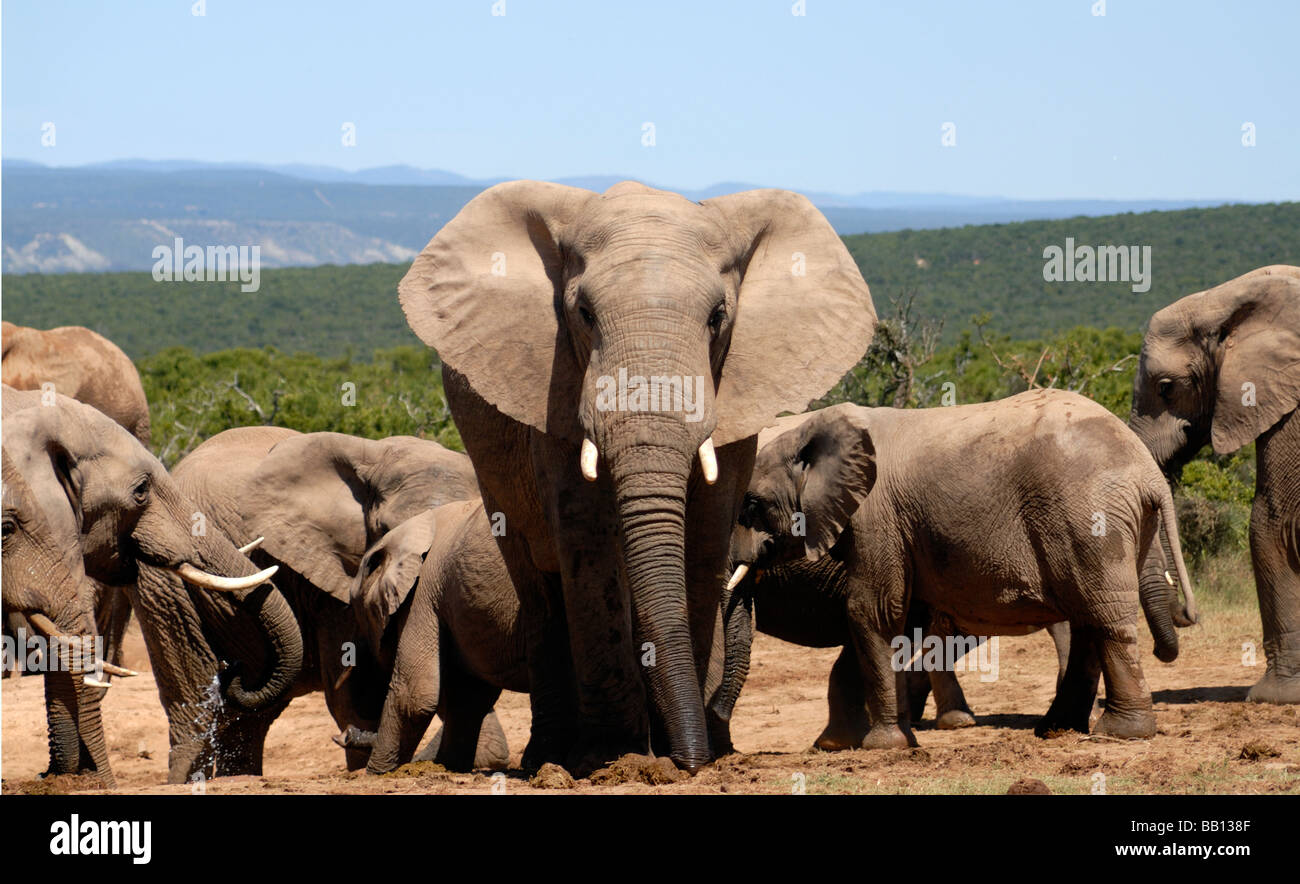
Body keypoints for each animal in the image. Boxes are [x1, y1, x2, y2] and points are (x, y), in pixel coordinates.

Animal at [131, 427, 481, 782]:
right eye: (385, 532)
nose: (231, 669)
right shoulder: (331, 584)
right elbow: (354, 693)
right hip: (165, 589)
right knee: (194, 711)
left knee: (249, 720)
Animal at [398, 179, 876, 774]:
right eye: (583, 313)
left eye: (718, 317)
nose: (691, 762)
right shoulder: (555, 392)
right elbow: (588, 541)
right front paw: (616, 758)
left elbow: (703, 537)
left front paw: (678, 756)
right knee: (538, 581)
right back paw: (550, 757)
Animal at [725, 390, 1196, 749]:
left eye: (752, 504)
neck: (810, 433)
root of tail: (1147, 473)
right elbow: (894, 615)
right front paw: (882, 741)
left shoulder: (878, 516)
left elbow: (872, 611)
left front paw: (882, 746)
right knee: (1090, 616)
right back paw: (1059, 730)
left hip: (1088, 517)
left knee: (1100, 614)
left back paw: (1116, 734)